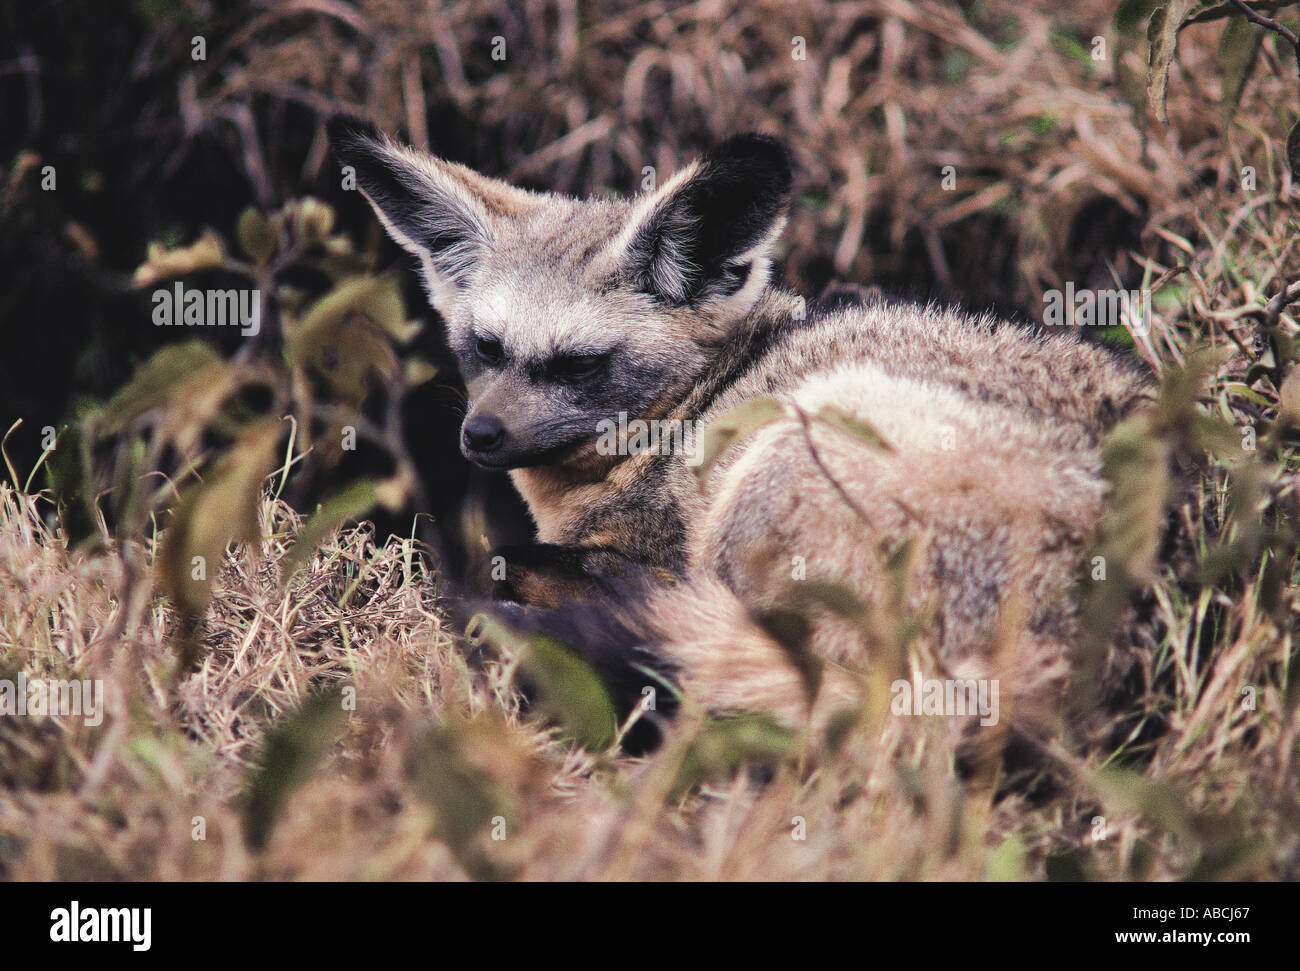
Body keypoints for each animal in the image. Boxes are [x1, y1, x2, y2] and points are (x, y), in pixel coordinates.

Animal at [326, 117, 1157, 762]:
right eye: (486, 348)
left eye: (578, 365)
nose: (480, 435)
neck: (697, 403)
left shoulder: (661, 546)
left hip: (786, 459)